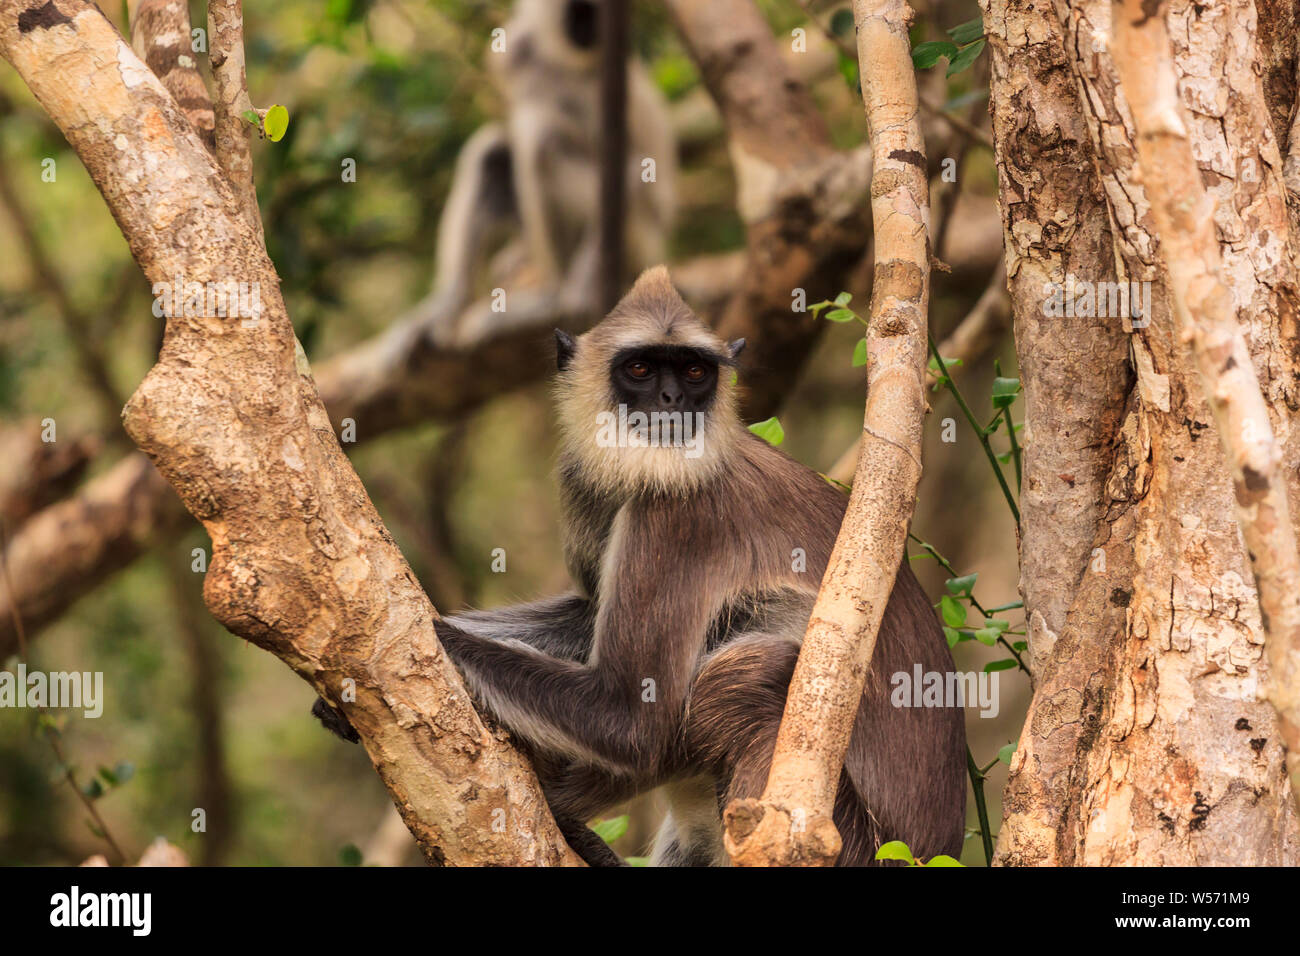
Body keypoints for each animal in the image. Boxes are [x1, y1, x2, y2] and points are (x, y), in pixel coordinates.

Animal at [315, 266, 967, 866]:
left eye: (695, 372)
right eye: (641, 370)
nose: (672, 402)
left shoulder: (677, 515)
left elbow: (631, 718)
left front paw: (414, 639)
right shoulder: (587, 482)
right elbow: (589, 618)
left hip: (857, 842)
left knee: (746, 676)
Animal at [428, 0, 677, 344]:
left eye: (596, 15)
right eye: (581, 14)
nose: (592, 30)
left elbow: (635, 168)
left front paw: (581, 289)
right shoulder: (512, 57)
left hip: (641, 237)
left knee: (541, 141)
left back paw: (553, 290)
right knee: (495, 154)